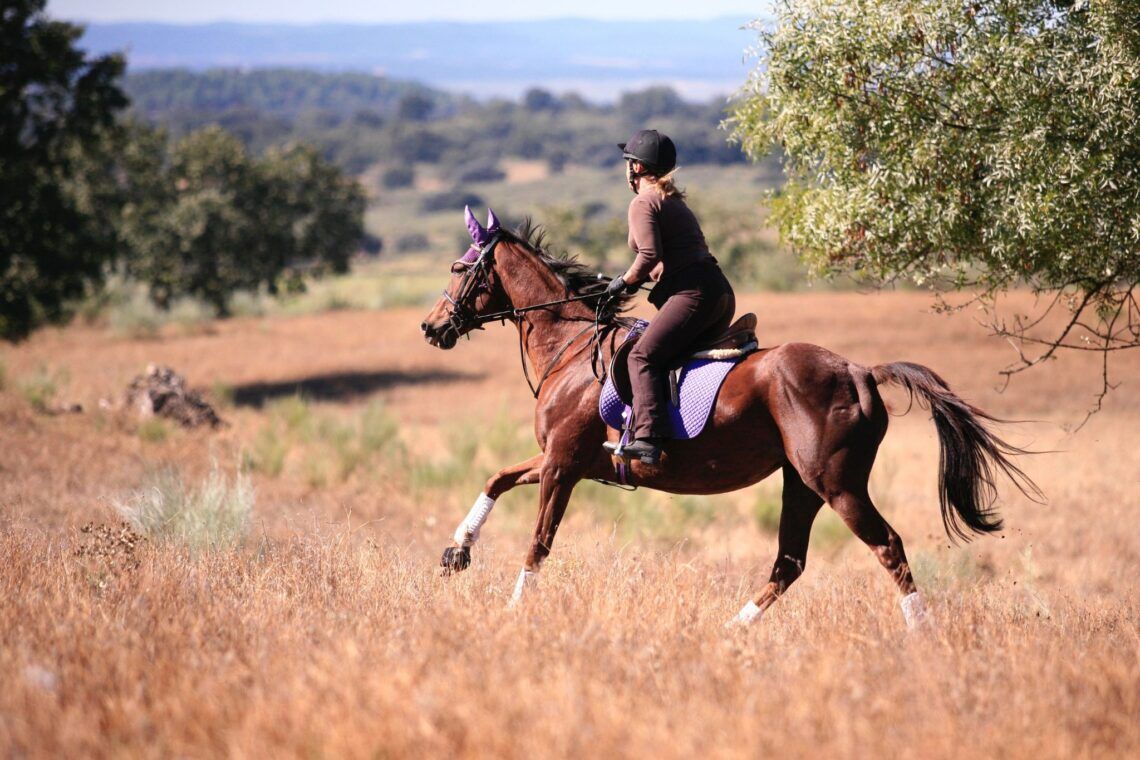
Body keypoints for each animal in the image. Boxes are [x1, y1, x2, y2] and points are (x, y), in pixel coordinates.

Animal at [420, 208, 1039, 628]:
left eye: (458, 268)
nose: (431, 327)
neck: (570, 347)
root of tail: (860, 370)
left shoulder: (563, 464)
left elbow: (538, 542)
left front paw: (512, 609)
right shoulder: (568, 459)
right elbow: (496, 478)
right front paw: (457, 552)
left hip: (835, 484)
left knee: (886, 546)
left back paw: (921, 634)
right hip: (801, 484)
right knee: (789, 562)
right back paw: (729, 632)